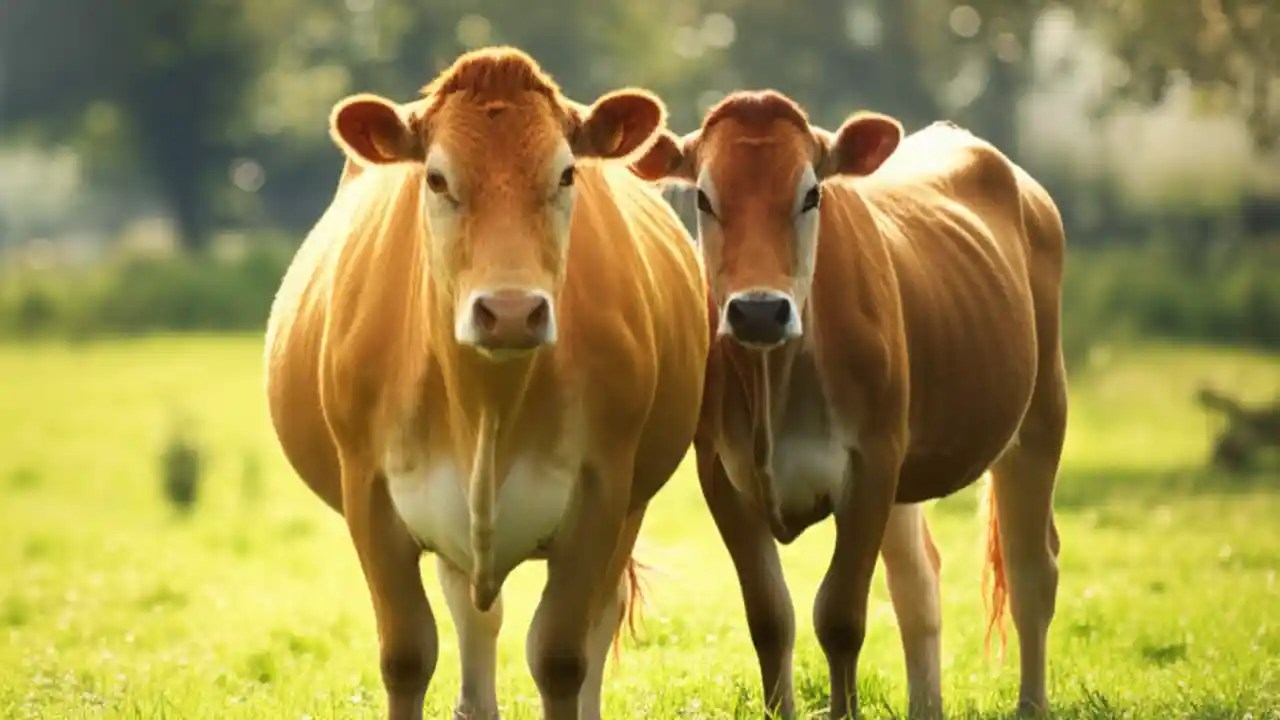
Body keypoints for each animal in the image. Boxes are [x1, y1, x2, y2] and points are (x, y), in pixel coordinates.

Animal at [265, 47, 709, 720]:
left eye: (566, 175)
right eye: (437, 179)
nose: (510, 311)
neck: (487, 405)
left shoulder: (603, 491)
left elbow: (561, 657)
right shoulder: (367, 493)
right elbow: (406, 655)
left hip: (632, 503)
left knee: (595, 622)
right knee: (475, 616)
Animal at [631, 91, 1067, 719]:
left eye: (811, 193)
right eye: (705, 198)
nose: (758, 311)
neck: (777, 379)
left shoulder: (870, 467)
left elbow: (839, 617)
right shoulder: (721, 475)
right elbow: (770, 619)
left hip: (1040, 413)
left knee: (1032, 572)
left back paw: (1031, 703)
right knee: (919, 584)